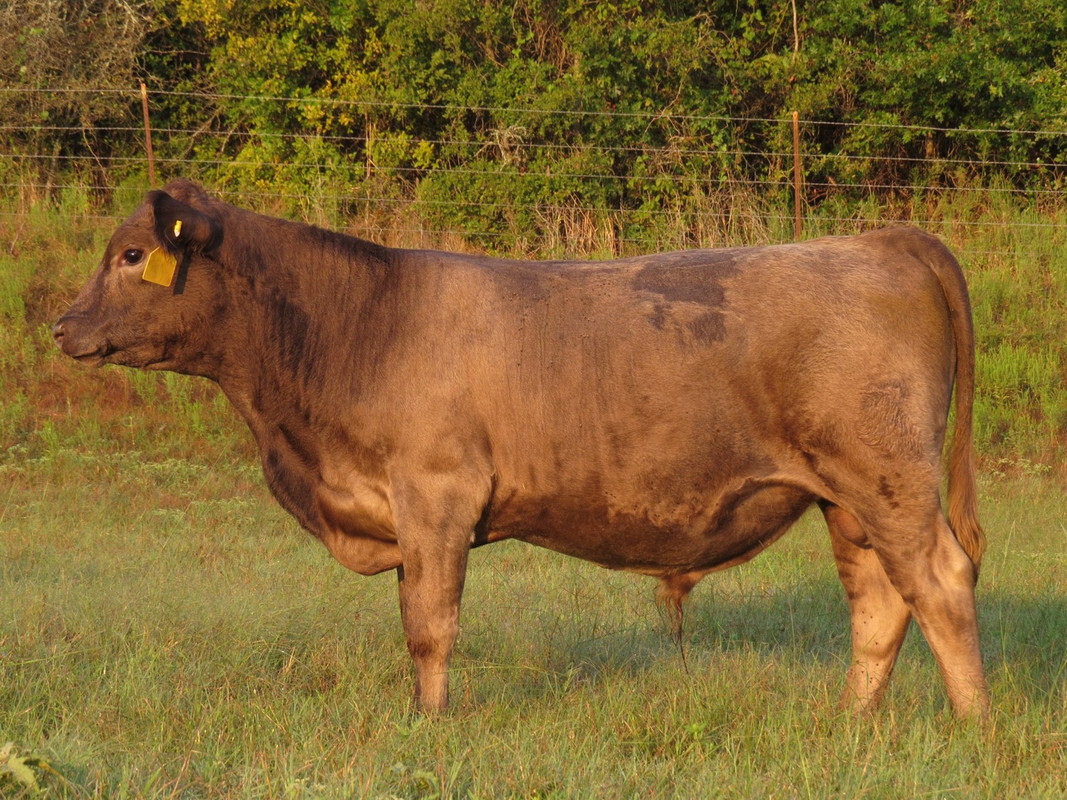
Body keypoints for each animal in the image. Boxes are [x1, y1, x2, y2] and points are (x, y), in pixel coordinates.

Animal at [53, 179, 989, 717]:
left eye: (131, 255)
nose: (61, 326)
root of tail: (876, 239)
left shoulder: (436, 496)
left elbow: (429, 626)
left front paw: (428, 727)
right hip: (846, 496)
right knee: (880, 601)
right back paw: (853, 723)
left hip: (889, 477)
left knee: (939, 582)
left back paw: (973, 725)